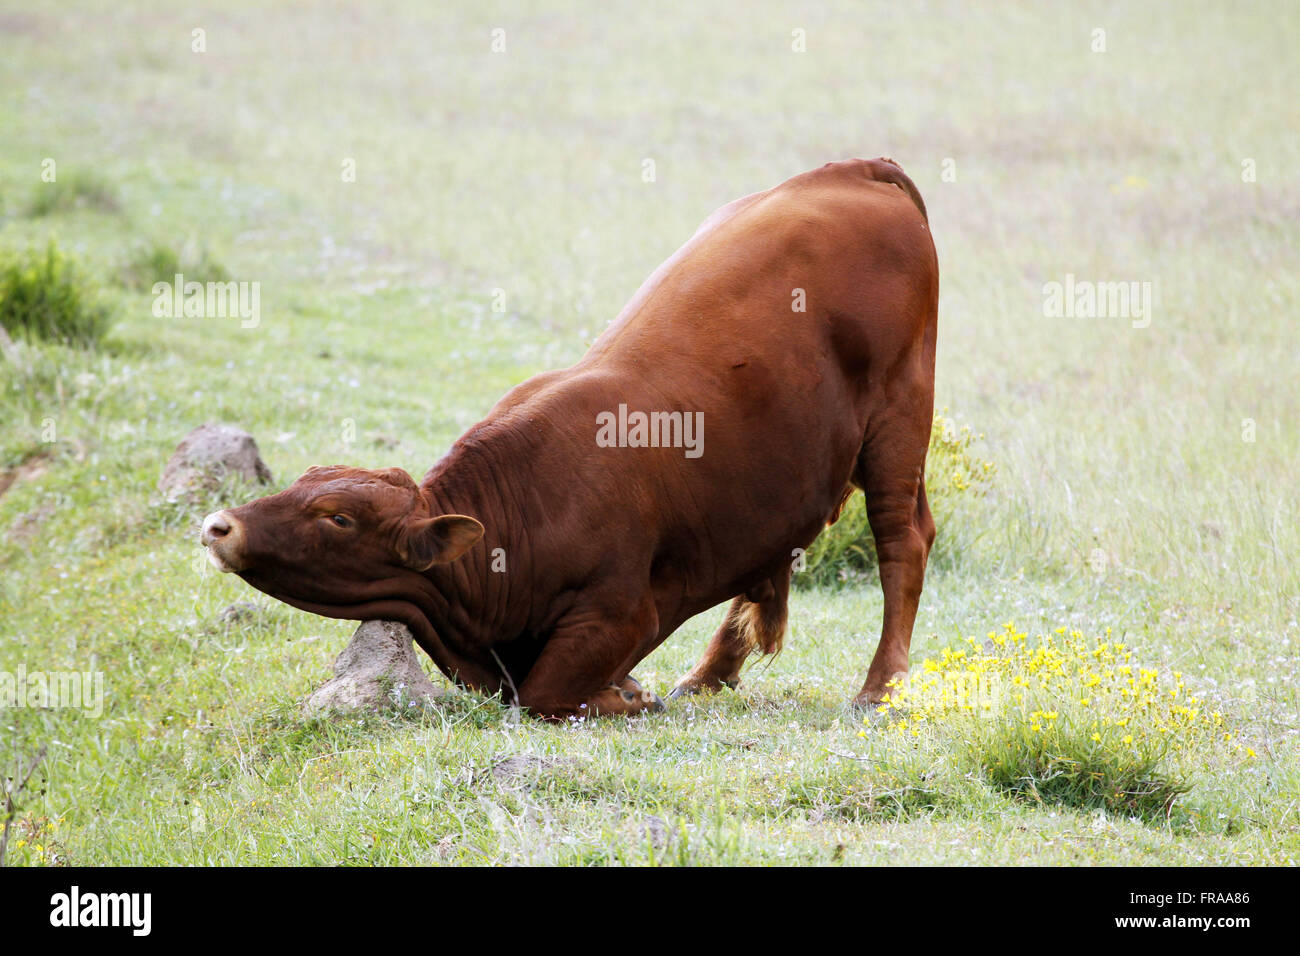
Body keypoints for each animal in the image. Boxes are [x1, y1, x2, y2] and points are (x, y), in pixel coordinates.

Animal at [201, 158, 939, 720]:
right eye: (301, 483)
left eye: (338, 518)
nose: (219, 525)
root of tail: (856, 168)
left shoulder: (621, 613)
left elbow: (543, 695)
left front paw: (626, 698)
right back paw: (708, 674)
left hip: (899, 424)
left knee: (903, 539)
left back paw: (880, 686)